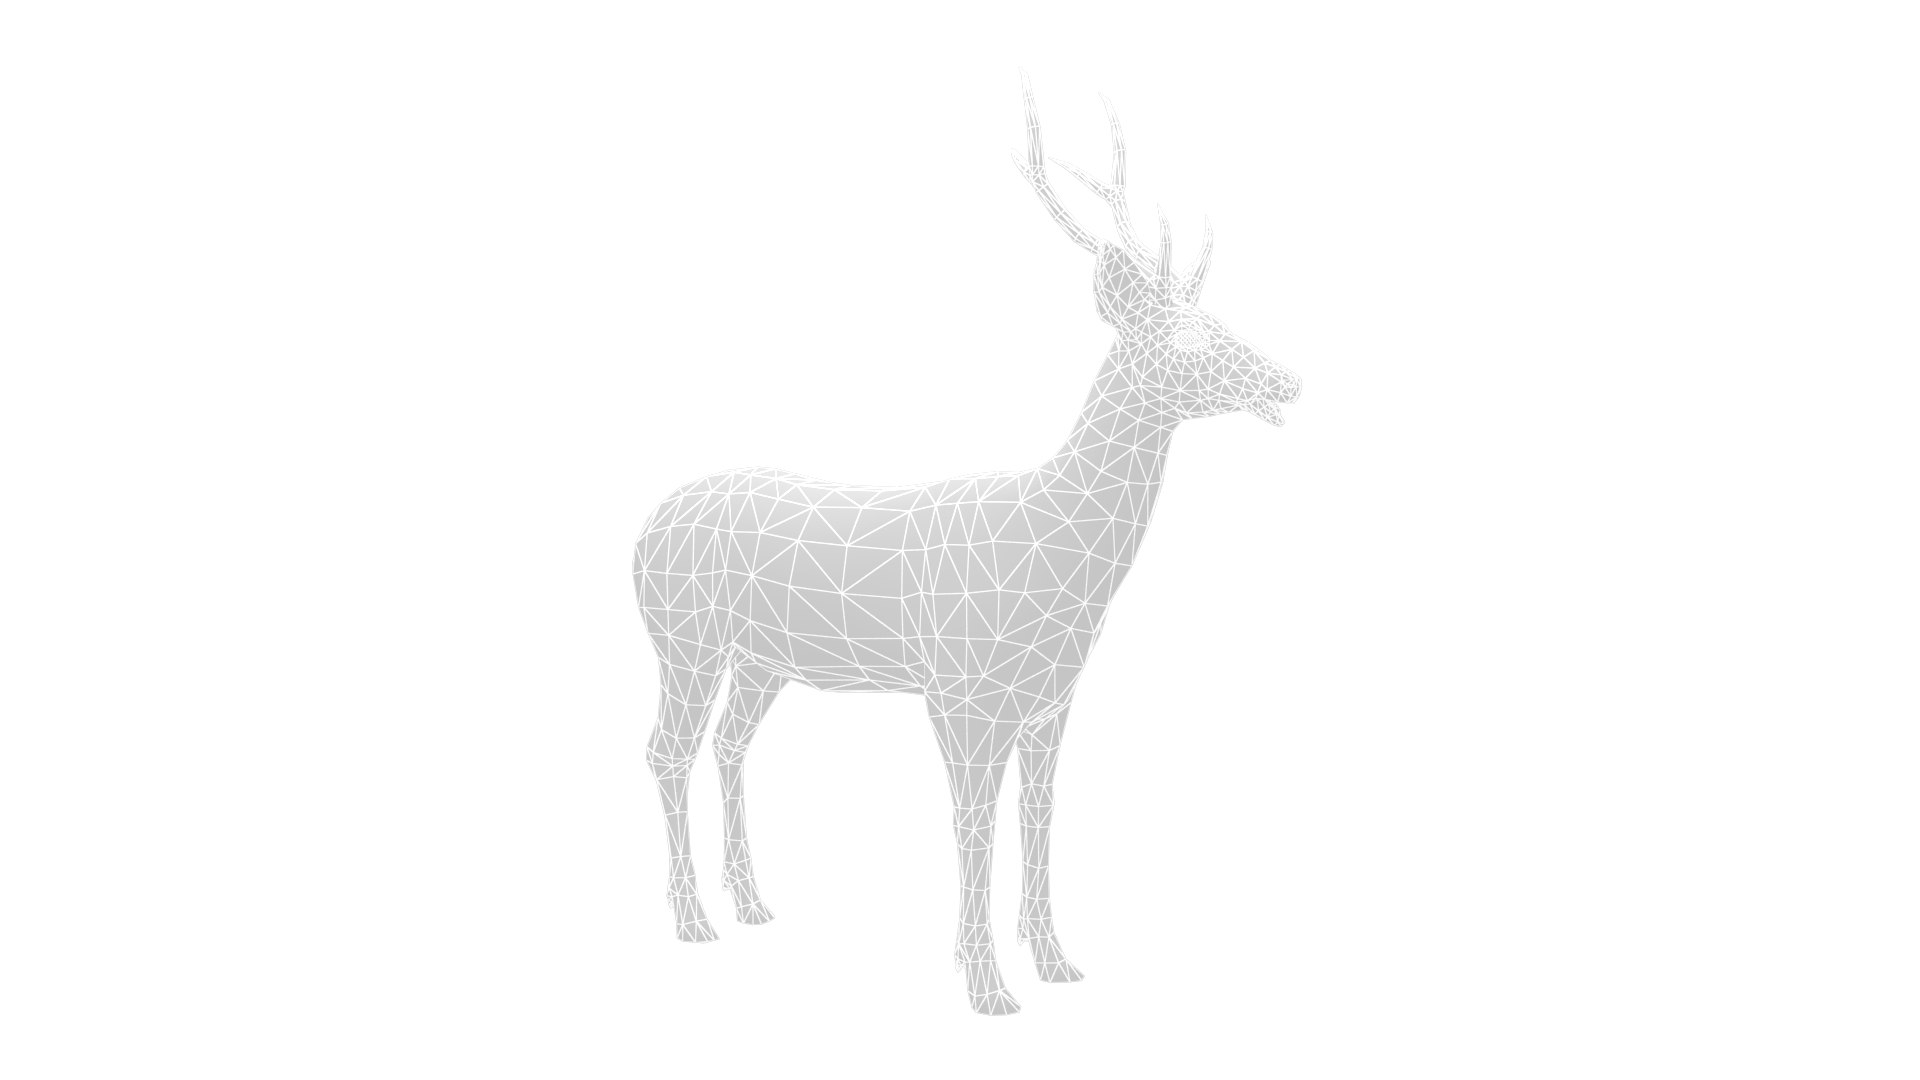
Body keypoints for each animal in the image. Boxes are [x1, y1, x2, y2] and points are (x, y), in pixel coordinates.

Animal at [633, 77, 1301, 1015]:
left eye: (1213, 313)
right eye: (1187, 336)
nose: (1292, 380)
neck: (1058, 561)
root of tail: (643, 530)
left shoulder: (1052, 697)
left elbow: (1039, 814)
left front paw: (1055, 960)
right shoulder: (959, 688)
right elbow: (972, 821)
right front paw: (986, 984)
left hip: (760, 660)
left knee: (730, 746)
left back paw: (754, 902)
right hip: (684, 638)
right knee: (665, 751)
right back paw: (694, 919)